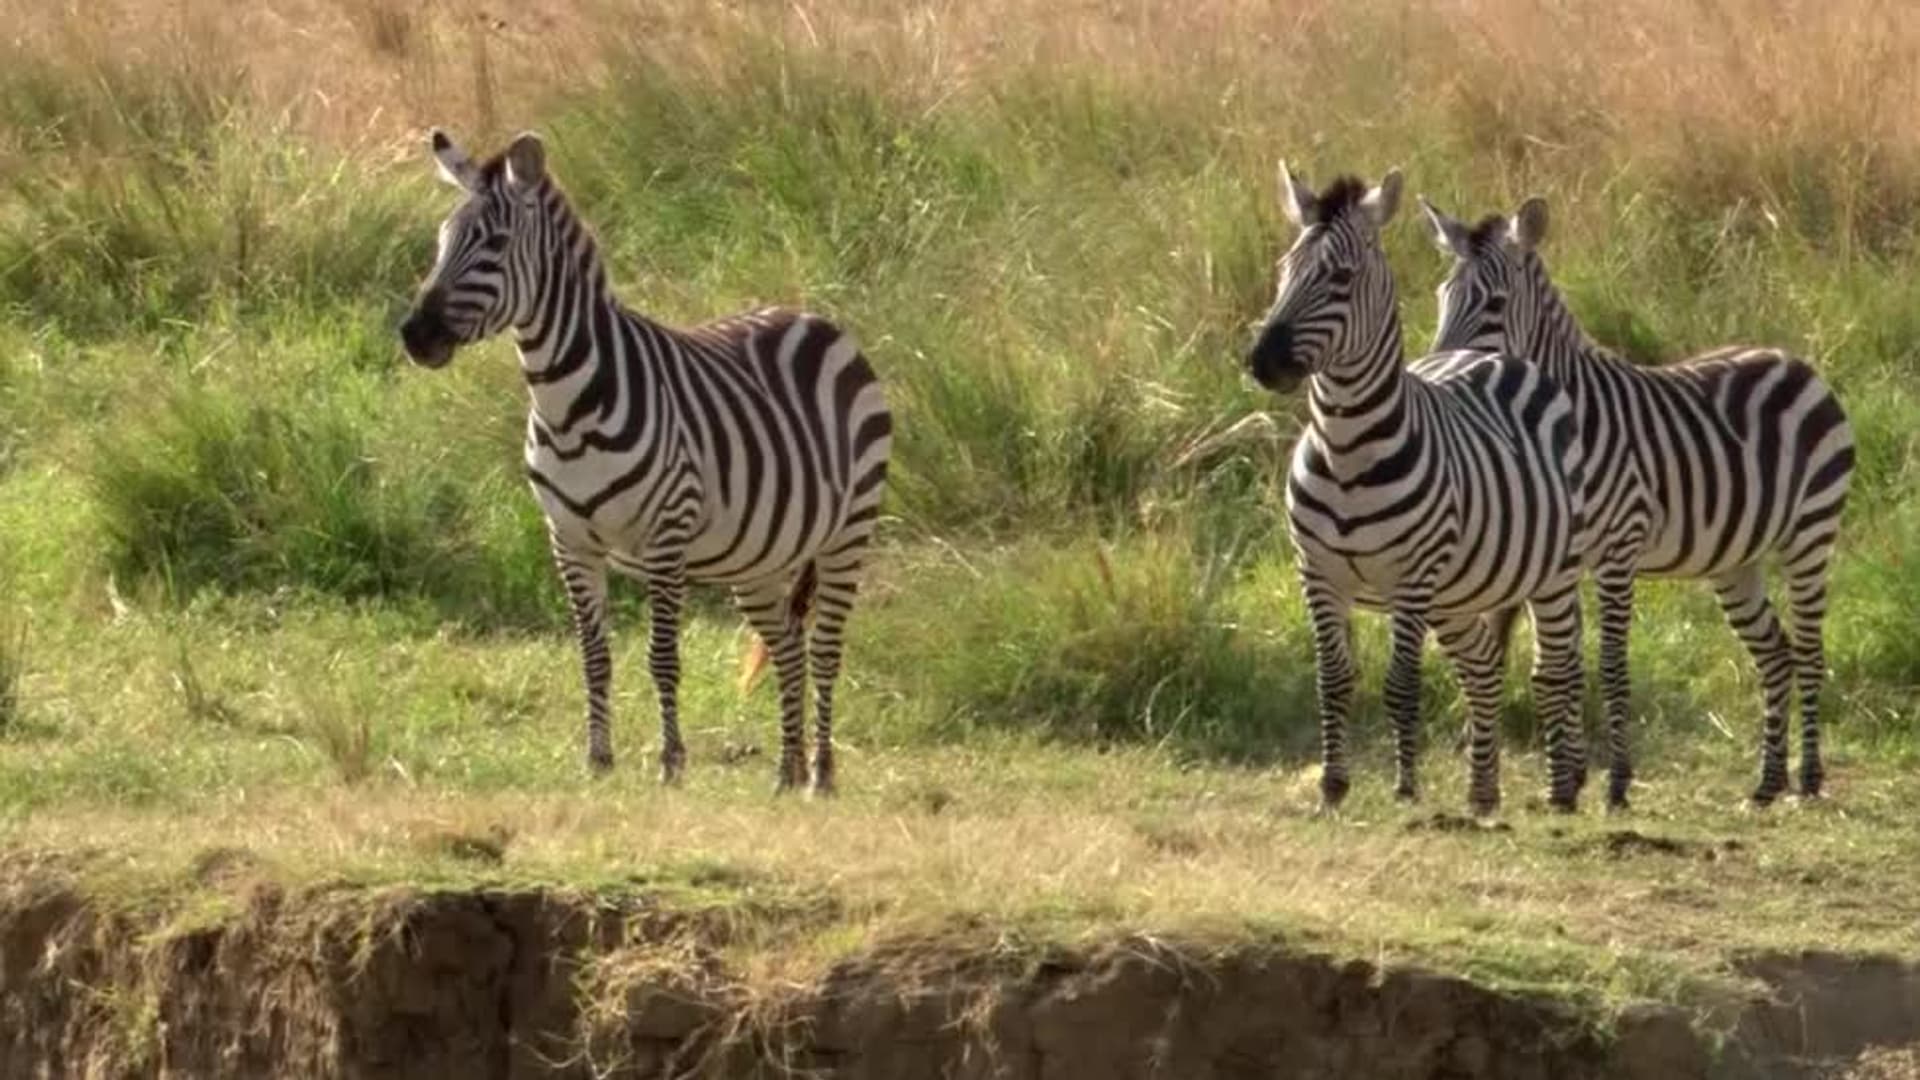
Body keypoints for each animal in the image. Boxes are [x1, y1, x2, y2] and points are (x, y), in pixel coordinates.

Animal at [398, 129, 892, 795]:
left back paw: (820, 775)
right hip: (758, 556)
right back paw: (785, 773)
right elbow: (593, 655)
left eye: (493, 245)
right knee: (789, 645)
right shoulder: (569, 540)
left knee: (826, 649)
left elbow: (662, 656)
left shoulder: (666, 534)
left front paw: (671, 761)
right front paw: (598, 759)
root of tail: (813, 317)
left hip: (849, 532)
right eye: (442, 240)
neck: (567, 406)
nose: (413, 335)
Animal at [1247, 165, 1594, 816]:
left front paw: (1406, 786)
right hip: (1457, 590)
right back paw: (1482, 790)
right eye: (1283, 270)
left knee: (1557, 664)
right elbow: (1332, 680)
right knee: (1482, 664)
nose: (1263, 362)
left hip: (1551, 572)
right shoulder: (1317, 573)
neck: (1347, 451)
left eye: (1340, 277)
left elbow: (1401, 684)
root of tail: (1492, 355)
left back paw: (1562, 789)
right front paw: (1333, 786)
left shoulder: (1409, 577)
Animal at [1416, 194, 1853, 808]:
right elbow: (1556, 668)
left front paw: (1616, 783)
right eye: (1441, 296)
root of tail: (1791, 358)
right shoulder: (1554, 556)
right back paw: (1767, 782)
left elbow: (1610, 665)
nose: (1431, 371)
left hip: (1810, 535)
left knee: (1811, 651)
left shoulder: (1618, 551)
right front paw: (1567, 776)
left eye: (1495, 304)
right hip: (1735, 559)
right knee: (1775, 653)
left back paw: (1809, 778)